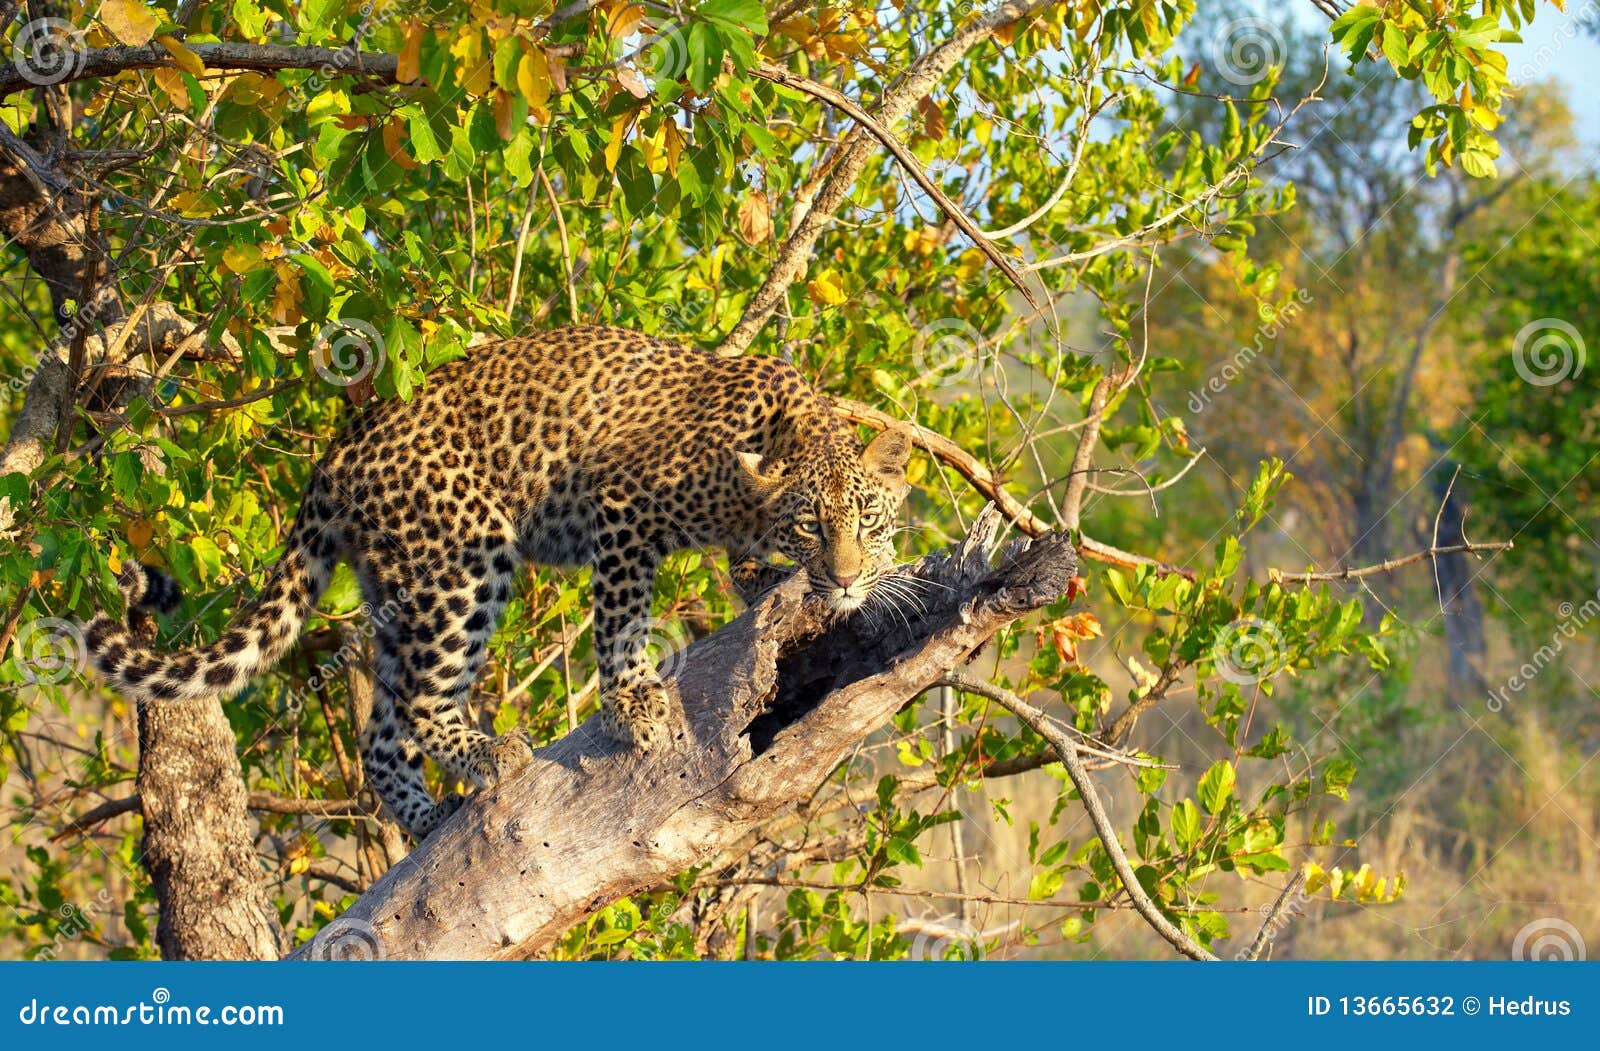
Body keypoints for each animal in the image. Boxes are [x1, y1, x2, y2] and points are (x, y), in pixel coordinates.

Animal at [83, 325, 912, 839]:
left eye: (869, 523)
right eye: (812, 525)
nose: (845, 580)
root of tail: (340, 450)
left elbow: (741, 566)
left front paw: (765, 582)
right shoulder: (621, 510)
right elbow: (619, 618)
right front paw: (634, 703)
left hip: (398, 590)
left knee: (382, 733)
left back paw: (431, 816)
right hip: (463, 557)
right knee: (422, 701)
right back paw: (489, 755)